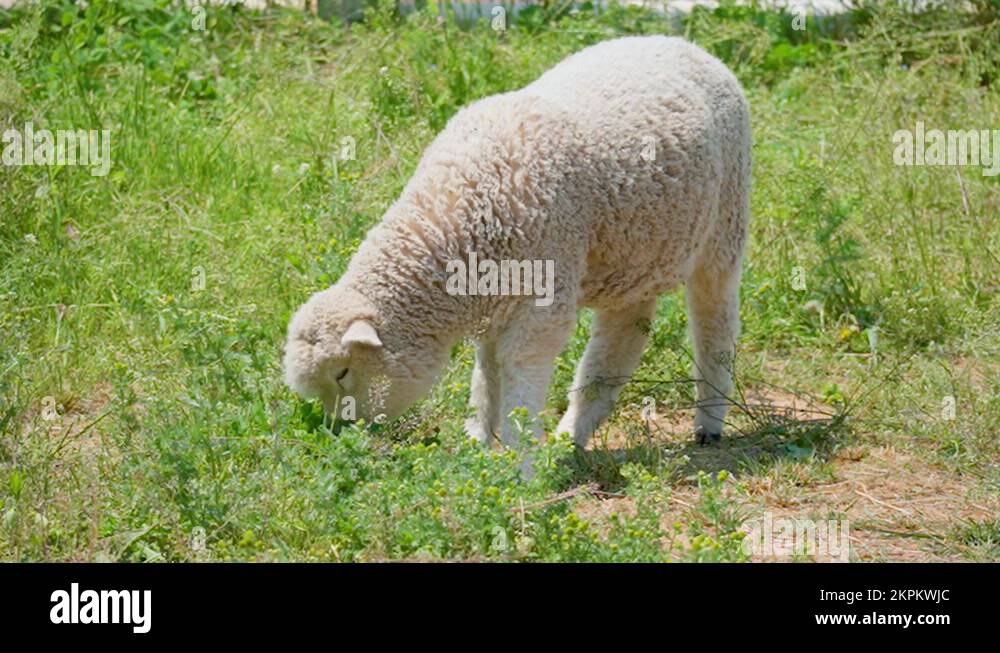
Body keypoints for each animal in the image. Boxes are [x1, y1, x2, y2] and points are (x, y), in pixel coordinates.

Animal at [284, 35, 750, 466]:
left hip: (724, 225)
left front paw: (521, 461)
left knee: (714, 322)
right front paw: (478, 442)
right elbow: (487, 373)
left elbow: (520, 369)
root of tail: (682, 43)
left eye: (342, 373)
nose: (342, 433)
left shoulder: (541, 292)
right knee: (619, 340)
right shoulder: (496, 298)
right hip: (638, 252)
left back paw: (709, 420)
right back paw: (572, 435)